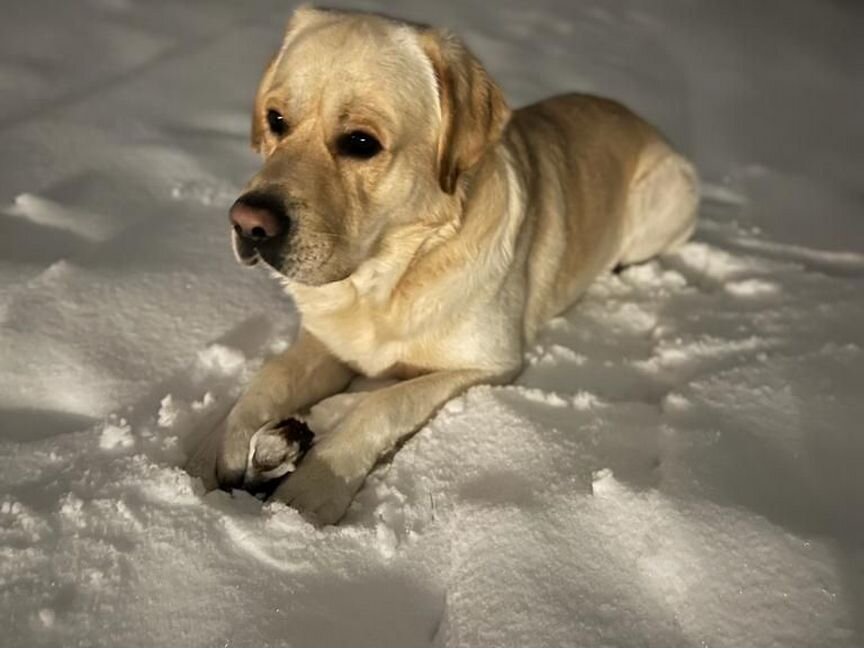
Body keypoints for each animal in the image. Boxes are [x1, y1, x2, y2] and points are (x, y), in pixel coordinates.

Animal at [196, 7, 696, 524]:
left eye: (361, 142)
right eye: (276, 119)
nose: (249, 223)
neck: (385, 284)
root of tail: (636, 115)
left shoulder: (488, 365)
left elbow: (383, 401)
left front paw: (314, 481)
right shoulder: (323, 339)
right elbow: (271, 377)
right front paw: (220, 449)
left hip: (661, 201)